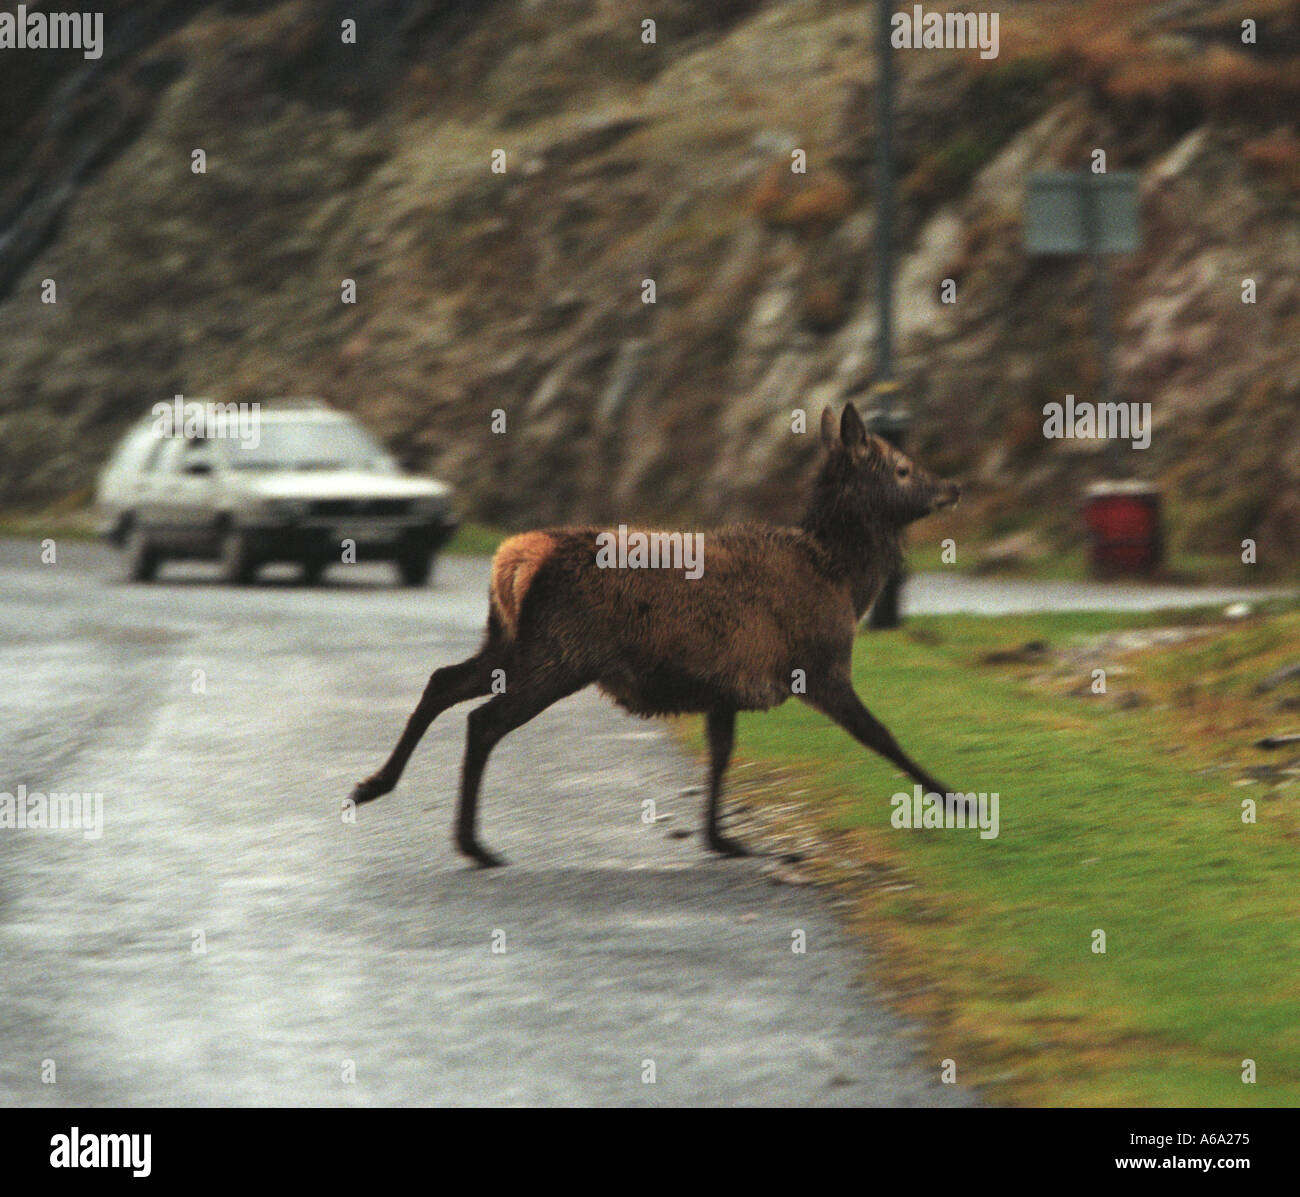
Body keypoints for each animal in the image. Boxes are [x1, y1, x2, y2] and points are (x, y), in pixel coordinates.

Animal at [349, 403, 961, 867]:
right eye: (902, 467)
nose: (951, 487)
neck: (844, 582)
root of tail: (515, 558)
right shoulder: (819, 665)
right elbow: (881, 735)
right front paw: (958, 802)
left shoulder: (728, 685)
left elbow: (721, 752)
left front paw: (720, 837)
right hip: (559, 653)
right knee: (483, 721)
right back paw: (472, 844)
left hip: (506, 640)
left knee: (441, 681)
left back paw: (374, 785)